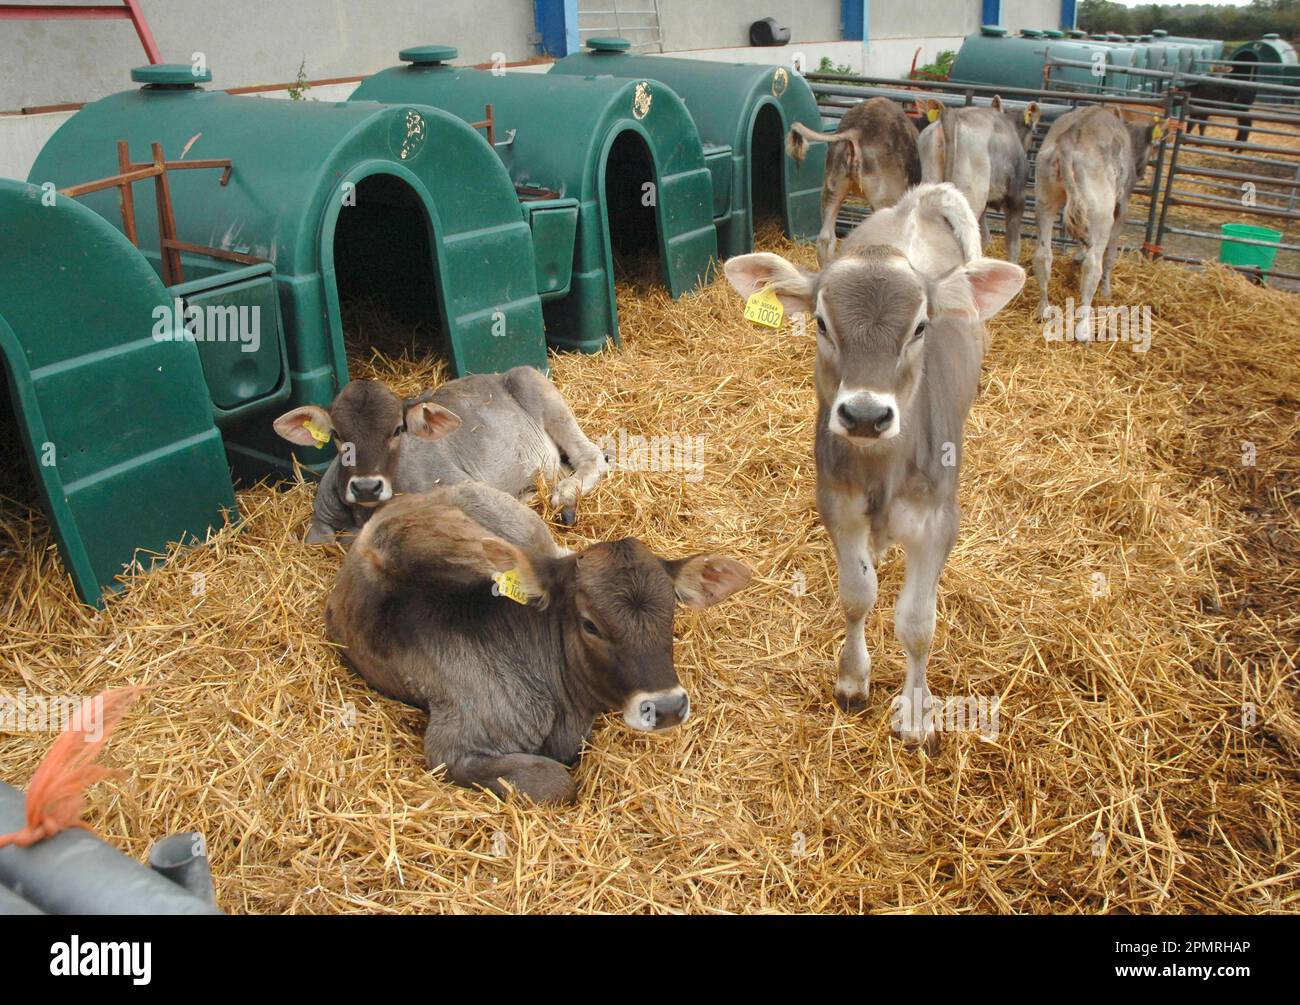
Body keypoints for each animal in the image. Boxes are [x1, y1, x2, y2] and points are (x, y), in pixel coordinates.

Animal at [273, 366, 609, 544]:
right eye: (338, 436)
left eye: (397, 430)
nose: (366, 486)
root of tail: (498, 375)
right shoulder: (320, 517)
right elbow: (320, 537)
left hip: (534, 385)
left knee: (593, 457)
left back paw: (564, 493)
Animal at [723, 184, 1024, 751]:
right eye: (821, 322)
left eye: (920, 327)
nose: (865, 414)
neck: (883, 473)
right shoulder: (837, 503)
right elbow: (857, 596)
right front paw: (851, 678)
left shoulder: (939, 520)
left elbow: (917, 623)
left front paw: (916, 714)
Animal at [1031, 106, 1171, 340]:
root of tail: (1071, 136)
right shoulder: (1121, 205)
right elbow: (1110, 255)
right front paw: (1106, 291)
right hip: (1101, 210)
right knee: (1093, 265)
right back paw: (1084, 328)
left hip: (1045, 196)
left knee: (1043, 255)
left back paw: (1044, 309)